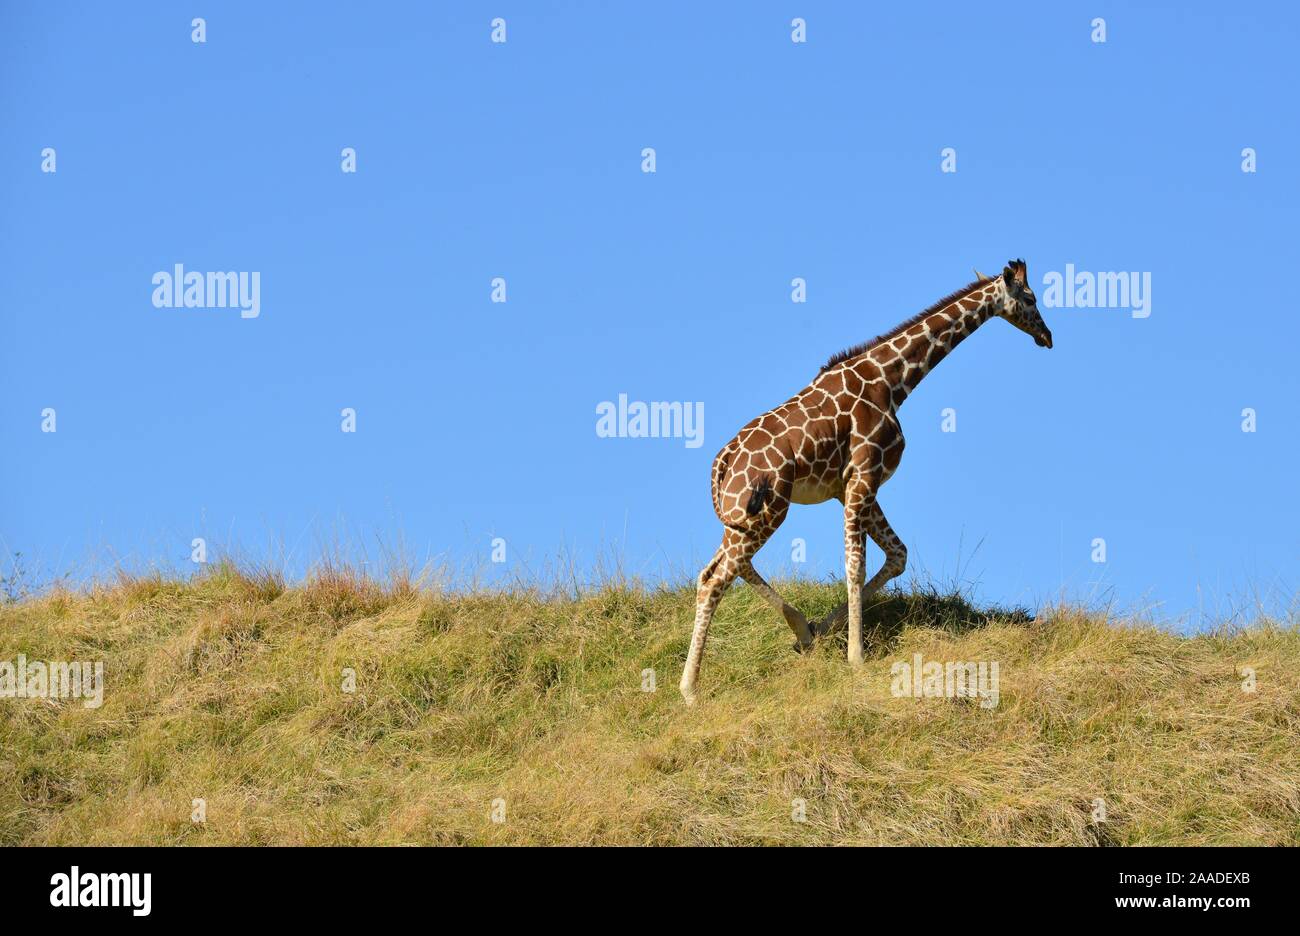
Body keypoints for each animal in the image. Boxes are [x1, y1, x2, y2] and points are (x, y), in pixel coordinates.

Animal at [679, 260, 1053, 704]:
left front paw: (824, 630)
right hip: (767, 511)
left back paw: (800, 629)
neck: (893, 380)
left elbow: (898, 554)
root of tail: (722, 461)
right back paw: (689, 689)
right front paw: (856, 657)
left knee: (718, 569)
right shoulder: (864, 476)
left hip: (747, 512)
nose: (1048, 336)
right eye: (1030, 298)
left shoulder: (849, 488)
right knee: (715, 578)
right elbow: (855, 565)